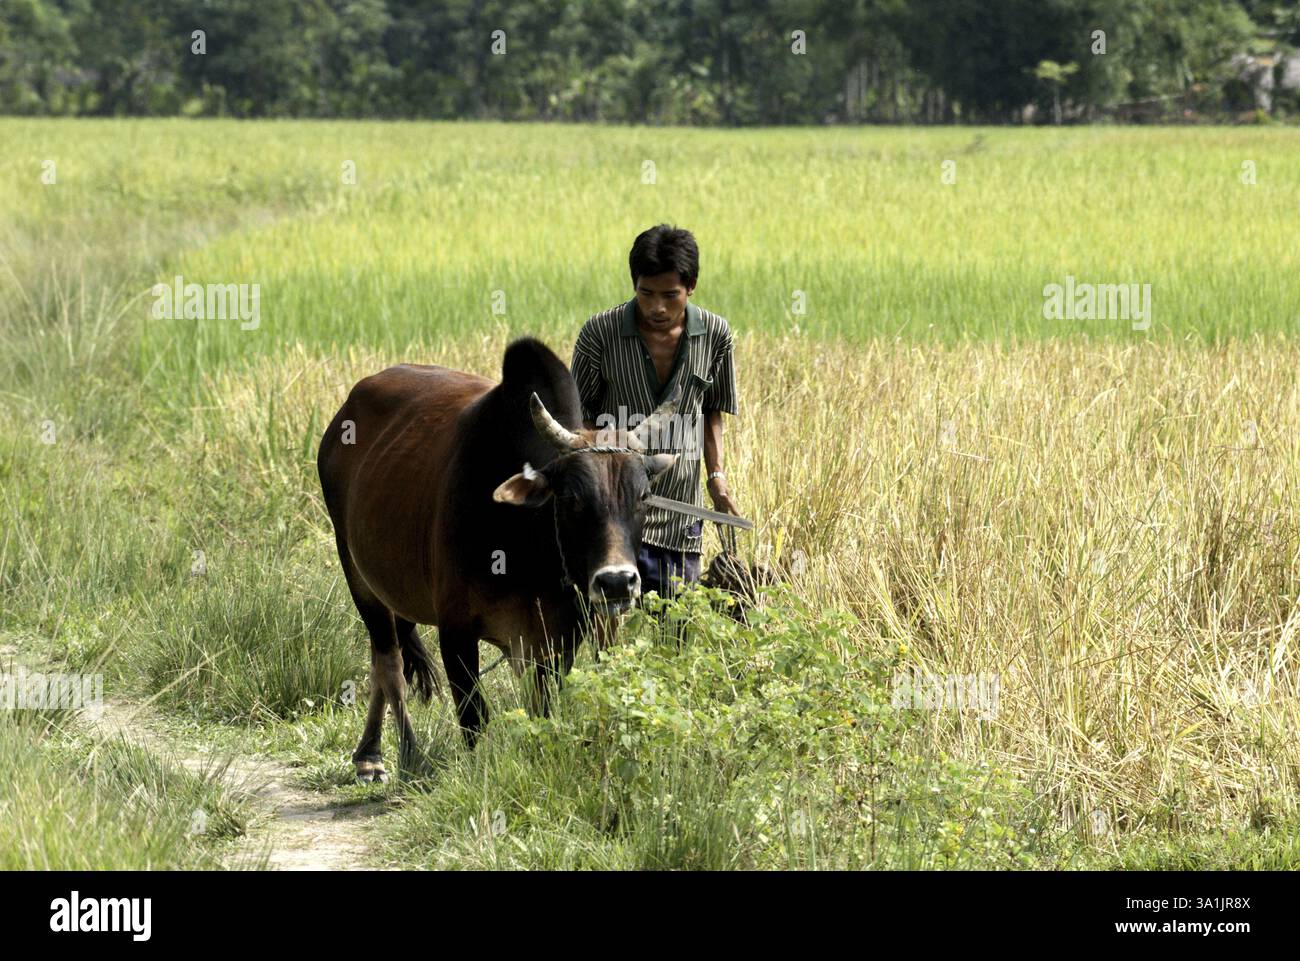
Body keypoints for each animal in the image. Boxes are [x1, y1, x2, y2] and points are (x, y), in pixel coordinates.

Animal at [317, 337, 680, 782]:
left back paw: (373, 751)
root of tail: (343, 416)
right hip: (357, 575)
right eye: (571, 497)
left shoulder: (560, 638)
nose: (616, 583)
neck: (526, 545)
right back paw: (393, 755)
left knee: (383, 660)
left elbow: (542, 711)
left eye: (644, 496)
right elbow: (474, 718)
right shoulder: (456, 630)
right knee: (389, 666)